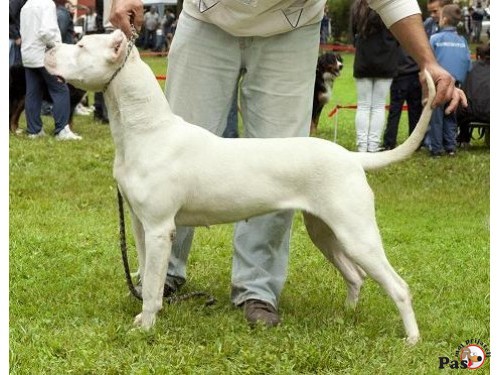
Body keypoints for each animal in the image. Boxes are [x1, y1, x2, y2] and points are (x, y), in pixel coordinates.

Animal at [46, 30, 434, 346]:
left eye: (81, 46)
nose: (48, 45)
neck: (146, 129)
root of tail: (352, 158)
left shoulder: (159, 228)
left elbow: (153, 286)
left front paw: (147, 328)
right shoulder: (142, 226)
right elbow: (149, 279)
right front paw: (144, 315)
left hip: (357, 234)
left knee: (398, 286)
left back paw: (412, 339)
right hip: (326, 231)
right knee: (355, 275)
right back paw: (347, 317)